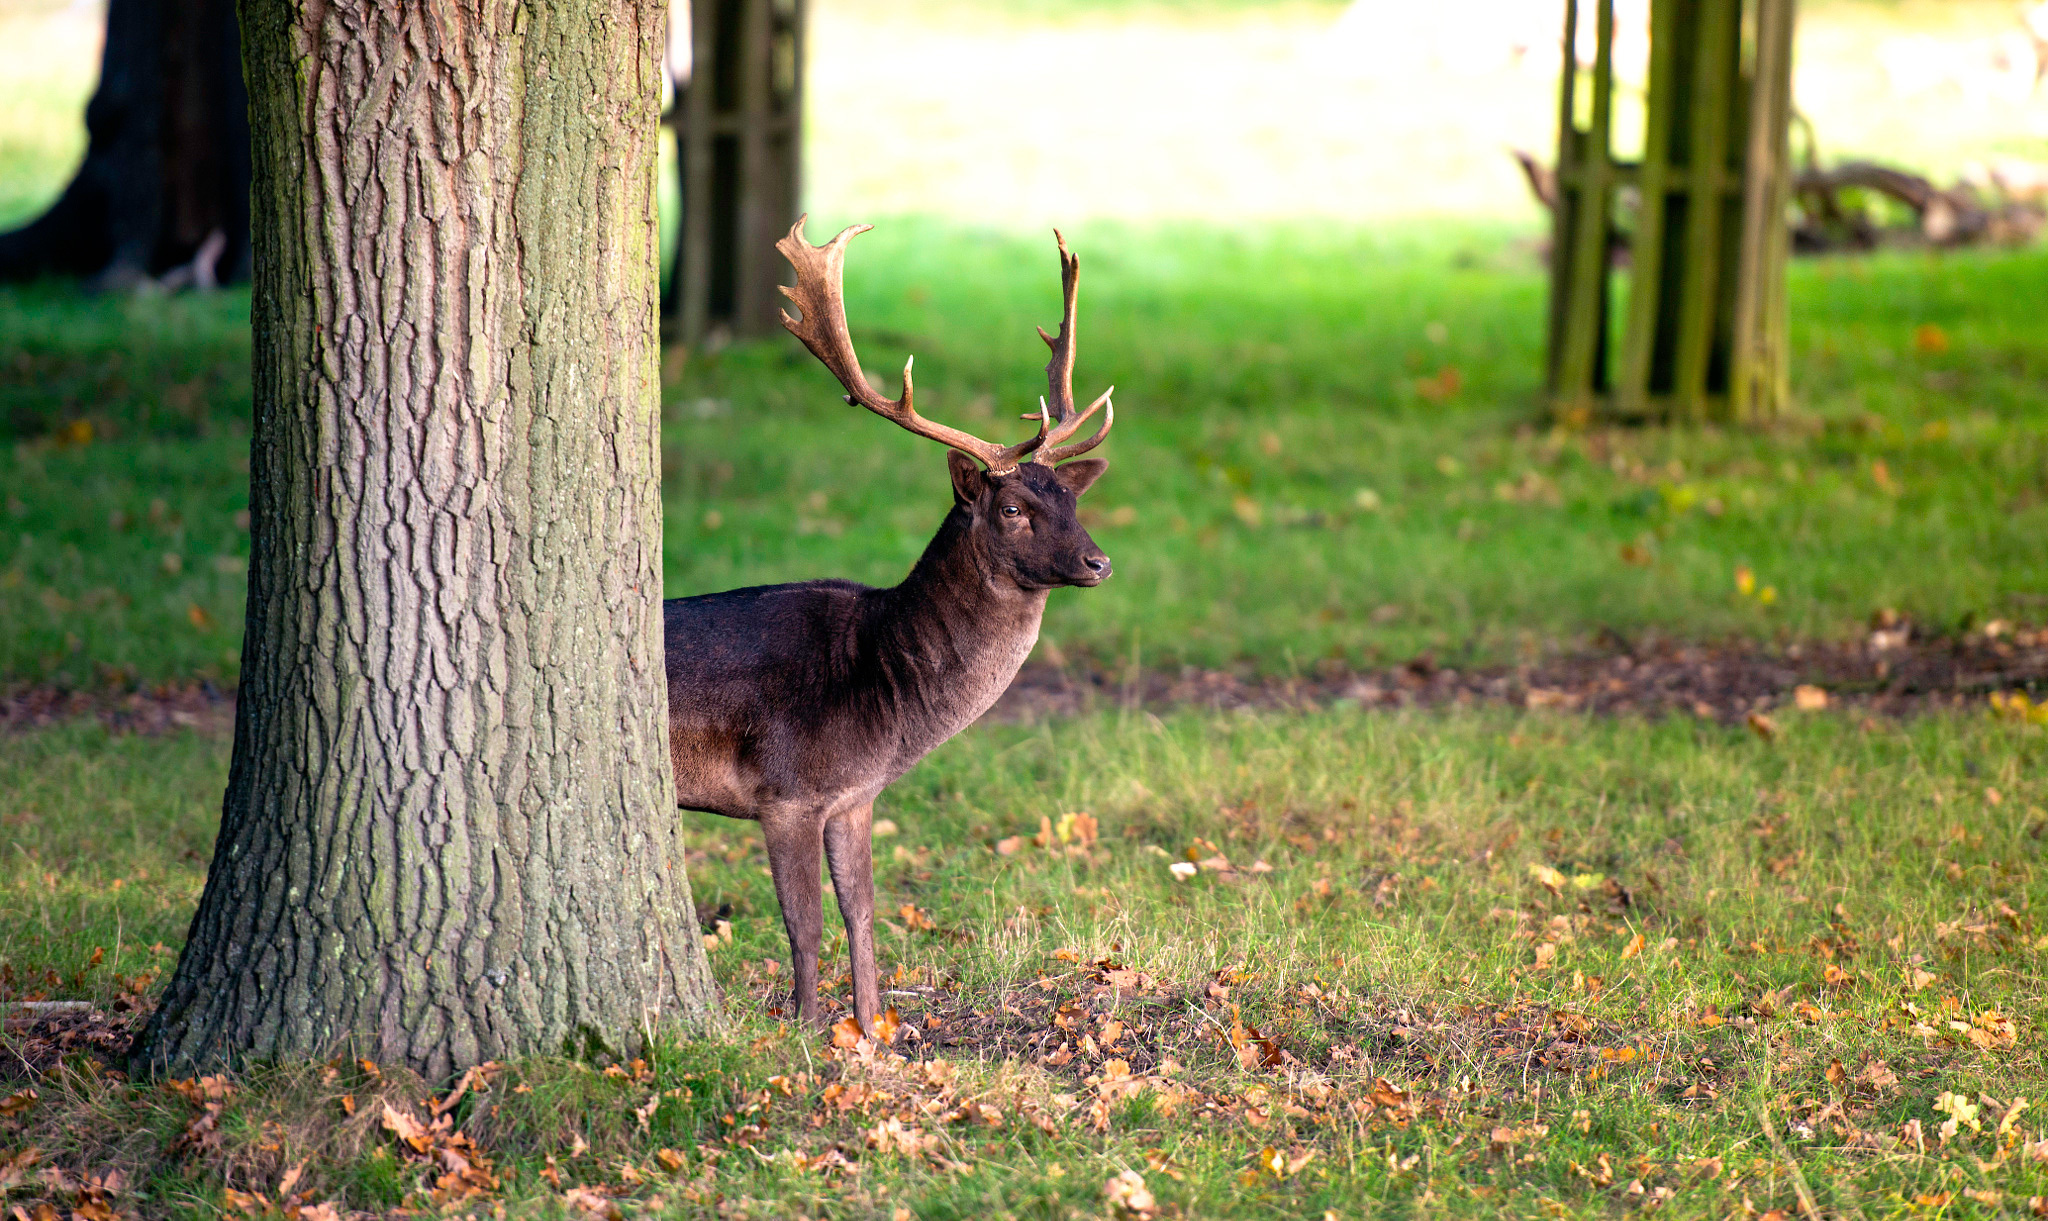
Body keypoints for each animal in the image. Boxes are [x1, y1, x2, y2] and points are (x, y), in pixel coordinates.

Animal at [664, 217, 1116, 1037]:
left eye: (1072, 497)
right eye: (1012, 508)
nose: (1098, 562)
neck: (882, 687)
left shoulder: (854, 796)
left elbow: (863, 912)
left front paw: (873, 1032)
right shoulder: (786, 790)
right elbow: (803, 923)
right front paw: (807, 1033)